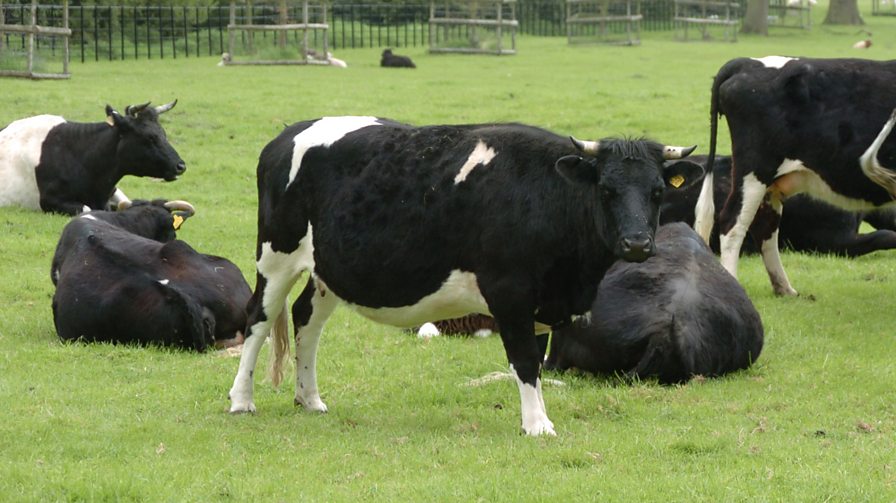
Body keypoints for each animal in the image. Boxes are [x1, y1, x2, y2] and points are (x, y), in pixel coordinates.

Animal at [227, 116, 704, 436]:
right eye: (606, 190)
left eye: (657, 192)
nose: (637, 244)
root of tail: (288, 133)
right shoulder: (509, 292)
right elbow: (524, 360)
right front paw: (538, 425)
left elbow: (535, 360)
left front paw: (534, 417)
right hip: (275, 256)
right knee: (258, 320)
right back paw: (241, 400)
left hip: (327, 268)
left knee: (306, 320)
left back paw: (309, 398)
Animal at [697, 57, 896, 295]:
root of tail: (747, 62)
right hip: (754, 171)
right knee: (732, 223)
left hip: (771, 184)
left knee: (765, 227)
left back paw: (784, 288)